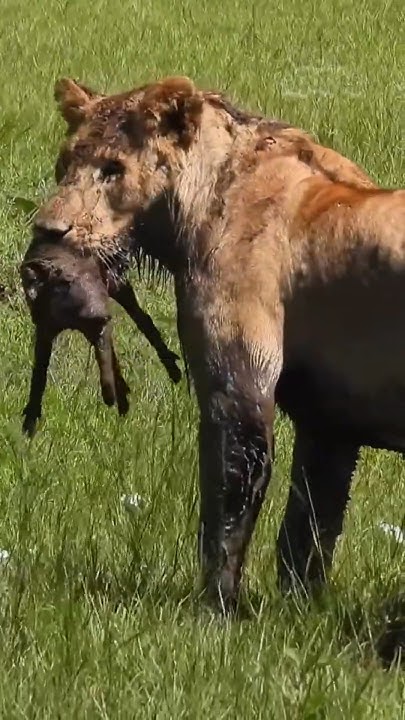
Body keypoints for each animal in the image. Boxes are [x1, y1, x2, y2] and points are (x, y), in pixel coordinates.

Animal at [34, 75, 402, 612]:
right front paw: (300, 609)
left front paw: (216, 608)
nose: (47, 230)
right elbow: (308, 527)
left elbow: (227, 504)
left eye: (112, 170)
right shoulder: (329, 423)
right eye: (63, 166)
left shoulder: (239, 379)